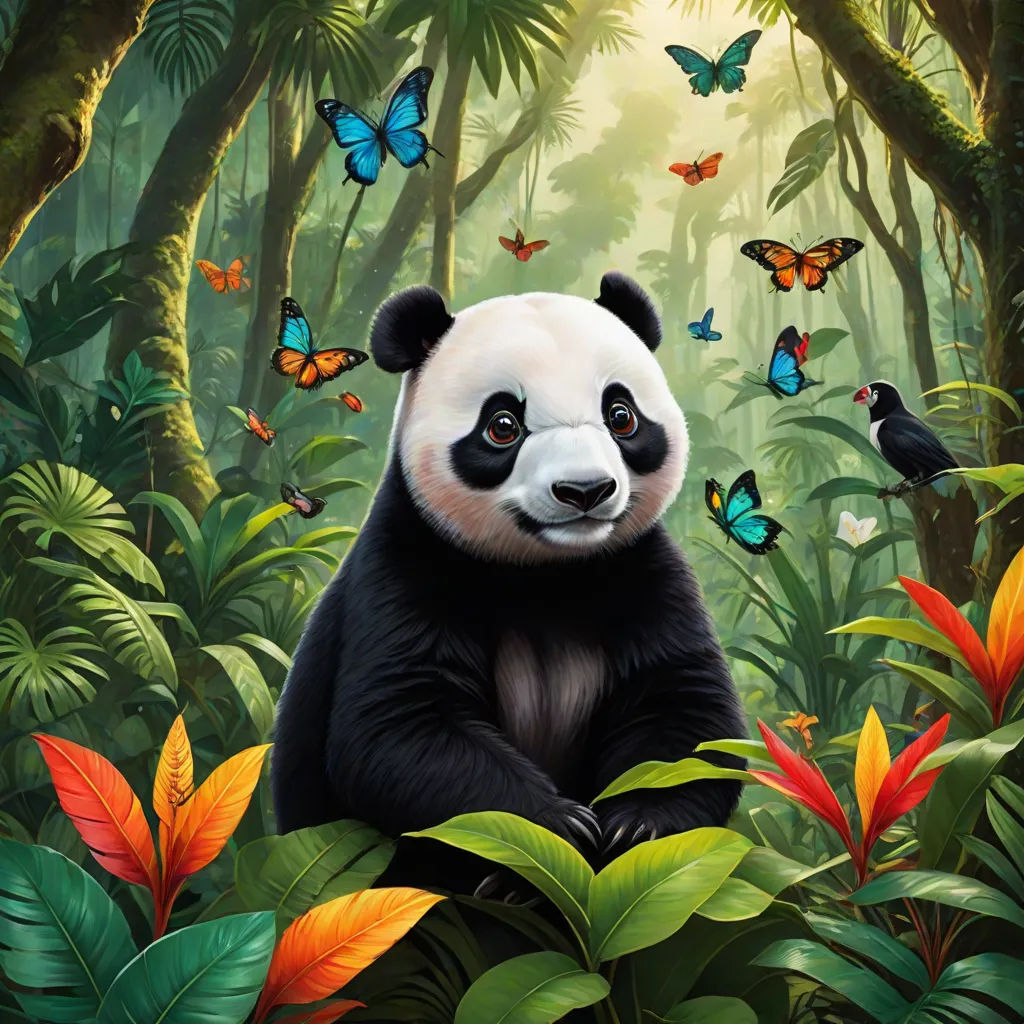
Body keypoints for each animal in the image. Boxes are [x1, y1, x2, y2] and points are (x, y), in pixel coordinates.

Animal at [271, 272, 746, 889]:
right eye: (503, 426)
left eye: (621, 415)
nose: (585, 490)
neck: (544, 574)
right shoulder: (406, 565)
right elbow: (401, 724)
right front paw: (557, 826)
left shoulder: (641, 571)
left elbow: (687, 711)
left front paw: (635, 827)